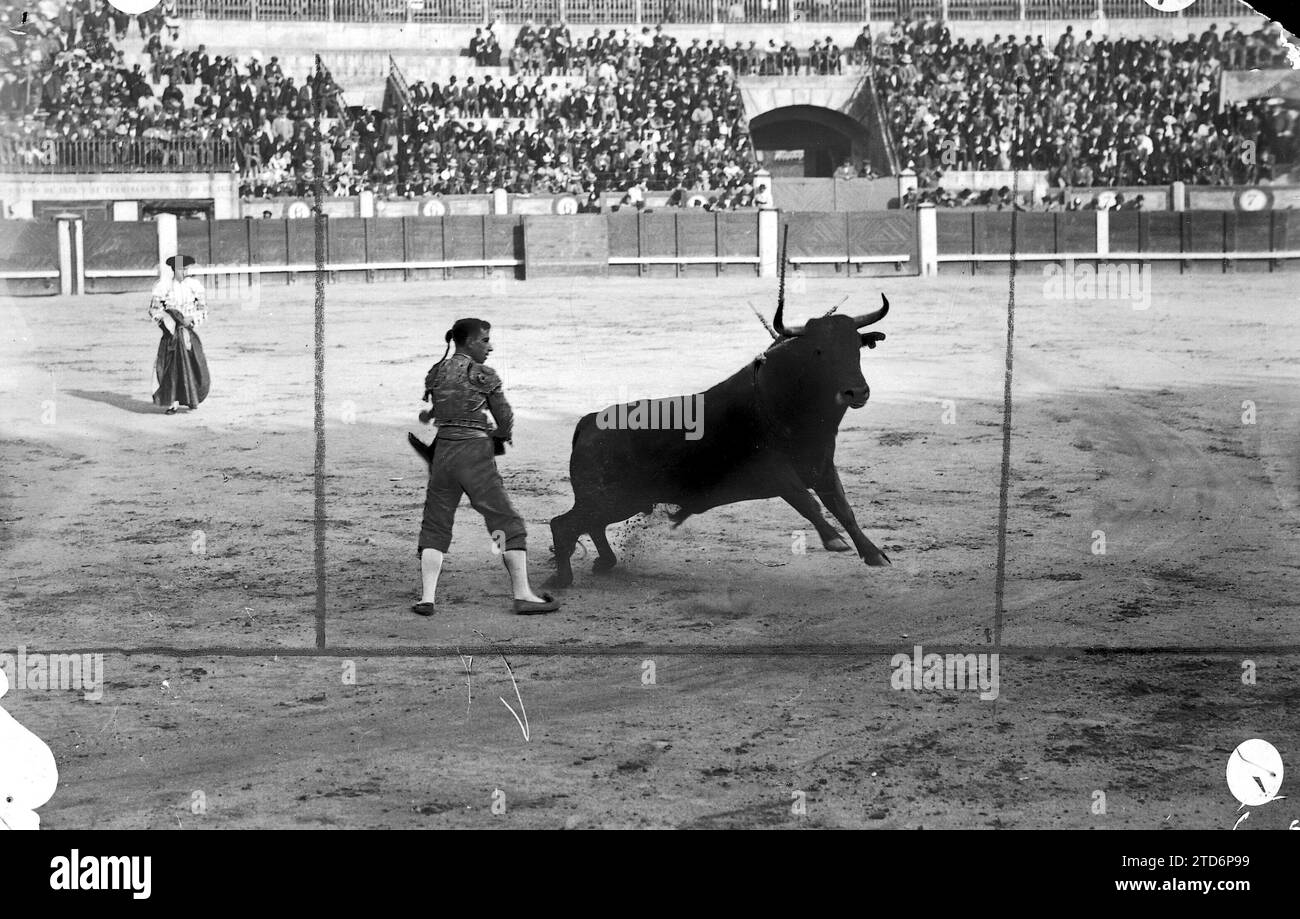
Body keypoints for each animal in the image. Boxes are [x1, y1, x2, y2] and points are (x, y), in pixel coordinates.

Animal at [547, 294, 892, 588]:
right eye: (818, 351)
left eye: (857, 347)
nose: (857, 392)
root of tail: (591, 420)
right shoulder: (775, 473)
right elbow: (808, 503)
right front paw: (834, 540)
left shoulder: (822, 468)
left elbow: (843, 508)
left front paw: (874, 553)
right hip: (609, 498)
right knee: (563, 524)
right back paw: (562, 579)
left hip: (620, 501)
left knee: (588, 525)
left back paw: (602, 563)